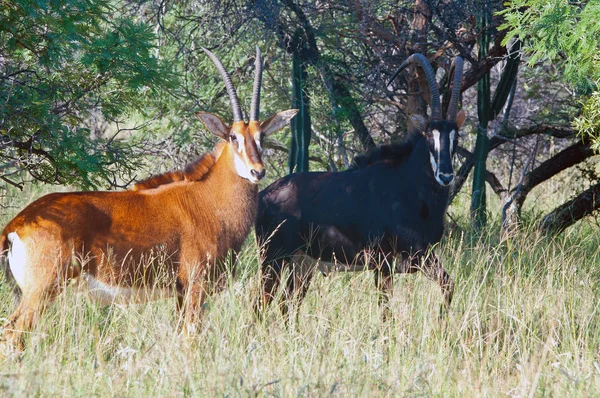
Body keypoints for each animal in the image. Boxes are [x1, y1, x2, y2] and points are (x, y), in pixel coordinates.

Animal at [0, 46, 298, 352]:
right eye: (233, 137)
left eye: (262, 136)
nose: (257, 171)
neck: (208, 199)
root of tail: (17, 224)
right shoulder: (195, 286)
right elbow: (191, 340)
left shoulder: (180, 294)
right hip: (41, 291)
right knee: (12, 333)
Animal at [255, 53, 466, 320]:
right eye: (429, 134)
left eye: (456, 136)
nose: (446, 175)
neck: (410, 188)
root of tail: (263, 196)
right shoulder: (386, 262)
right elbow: (386, 310)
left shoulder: (419, 257)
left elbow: (448, 285)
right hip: (273, 260)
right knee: (260, 306)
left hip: (301, 265)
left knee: (286, 305)